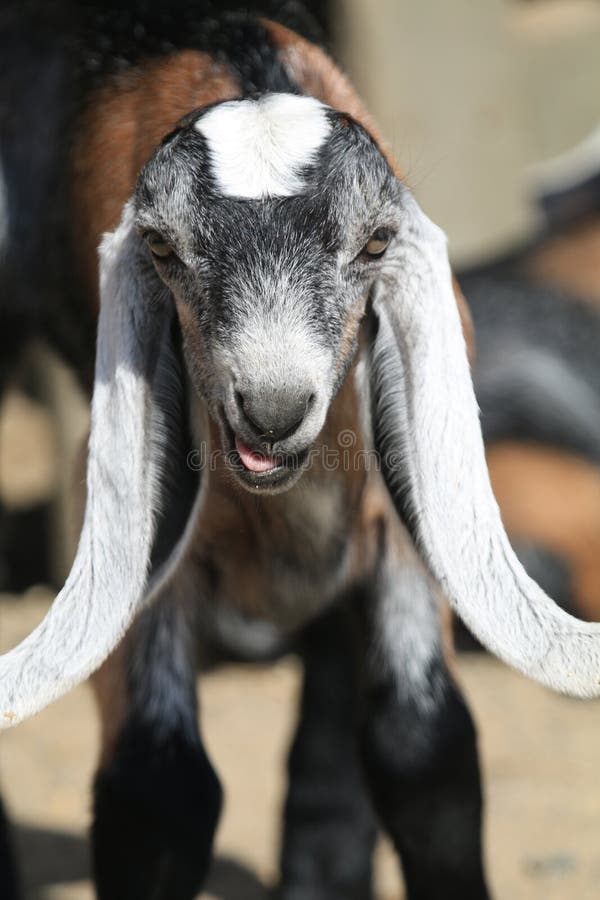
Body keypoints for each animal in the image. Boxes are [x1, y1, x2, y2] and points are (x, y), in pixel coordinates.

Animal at [3, 6, 600, 899]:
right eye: (162, 249)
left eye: (376, 243)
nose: (273, 409)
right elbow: (158, 785)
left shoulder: (393, 516)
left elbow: (426, 748)